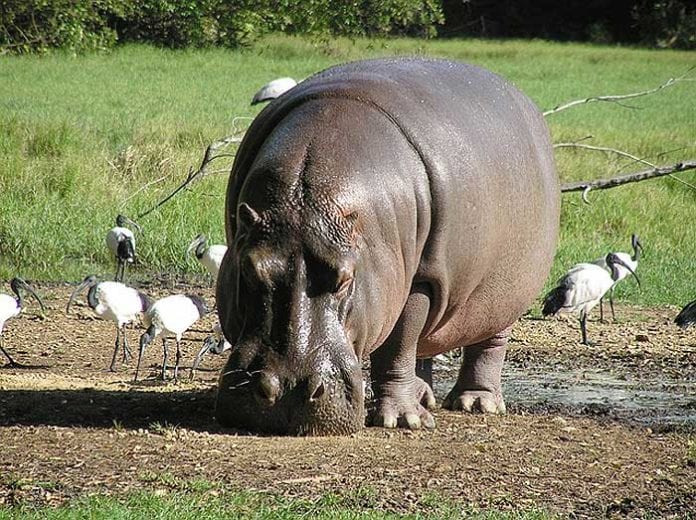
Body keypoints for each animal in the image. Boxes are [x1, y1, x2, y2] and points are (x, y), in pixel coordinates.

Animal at [215, 57, 560, 435]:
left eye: (345, 279)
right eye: (249, 269)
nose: (286, 390)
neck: (306, 201)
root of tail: (522, 98)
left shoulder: (421, 280)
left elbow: (398, 345)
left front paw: (403, 420)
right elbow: (407, 346)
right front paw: (412, 412)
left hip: (507, 293)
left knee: (486, 344)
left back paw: (477, 403)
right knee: (424, 347)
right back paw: (425, 398)